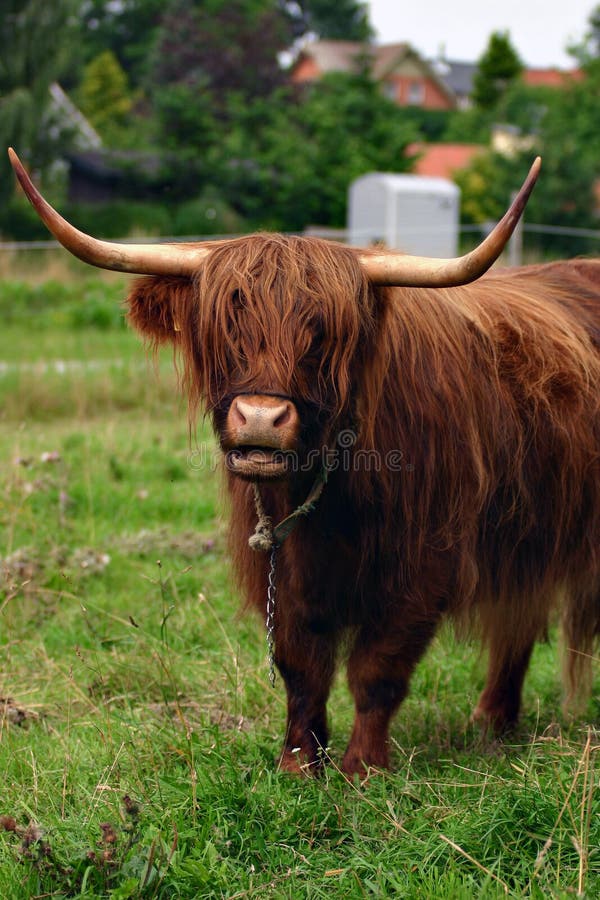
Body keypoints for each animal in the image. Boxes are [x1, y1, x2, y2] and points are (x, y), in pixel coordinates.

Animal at [9, 149, 600, 776]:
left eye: (320, 335)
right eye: (225, 328)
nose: (260, 418)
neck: (327, 500)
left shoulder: (423, 567)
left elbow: (377, 670)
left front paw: (363, 768)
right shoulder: (279, 568)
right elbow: (301, 667)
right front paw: (298, 762)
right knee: (519, 619)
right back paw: (492, 722)